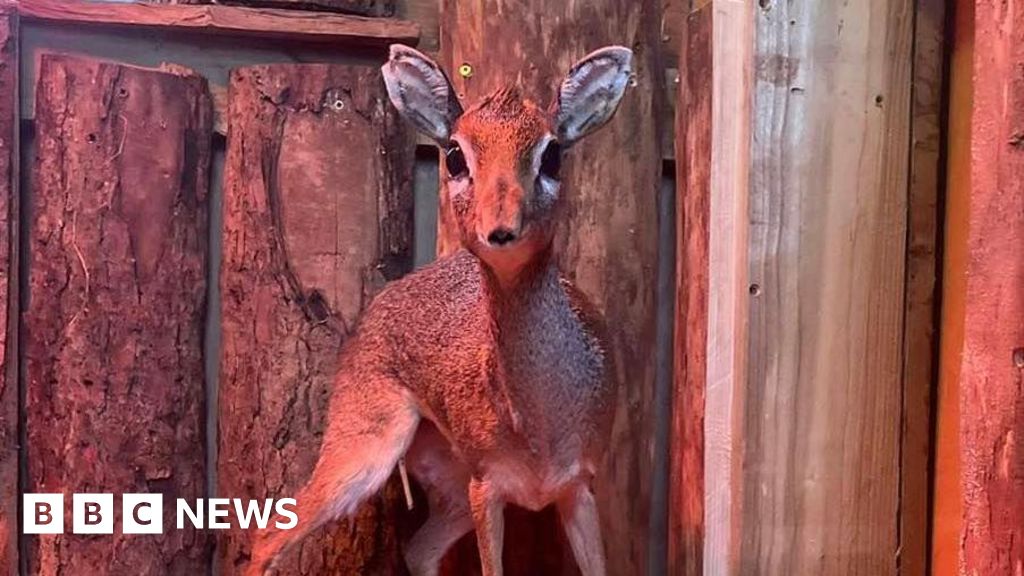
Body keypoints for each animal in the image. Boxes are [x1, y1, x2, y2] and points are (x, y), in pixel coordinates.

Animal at [247, 43, 633, 576]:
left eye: (553, 153)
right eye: (454, 155)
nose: (500, 228)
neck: (540, 427)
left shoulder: (577, 488)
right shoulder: (487, 487)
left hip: (447, 486)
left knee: (418, 548)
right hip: (364, 451)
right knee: (268, 535)